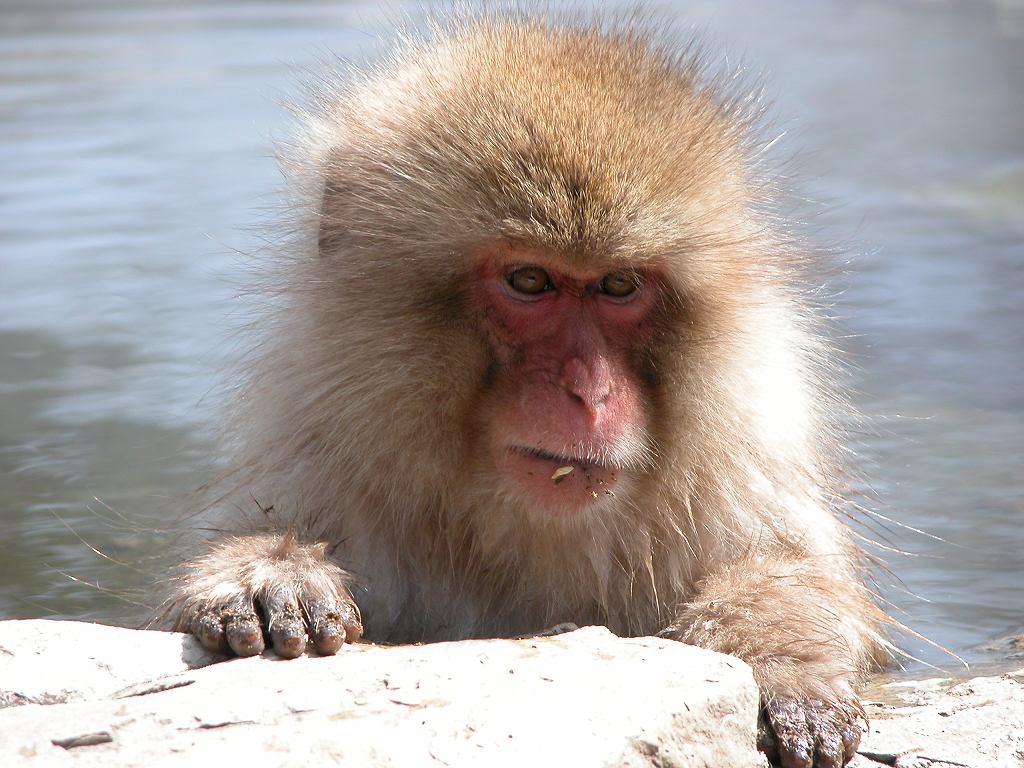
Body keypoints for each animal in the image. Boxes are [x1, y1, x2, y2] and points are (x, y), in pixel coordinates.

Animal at [158, 13, 889, 768]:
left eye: (619, 284)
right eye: (529, 280)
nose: (589, 393)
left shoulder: (740, 464)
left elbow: (791, 571)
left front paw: (787, 669)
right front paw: (270, 574)